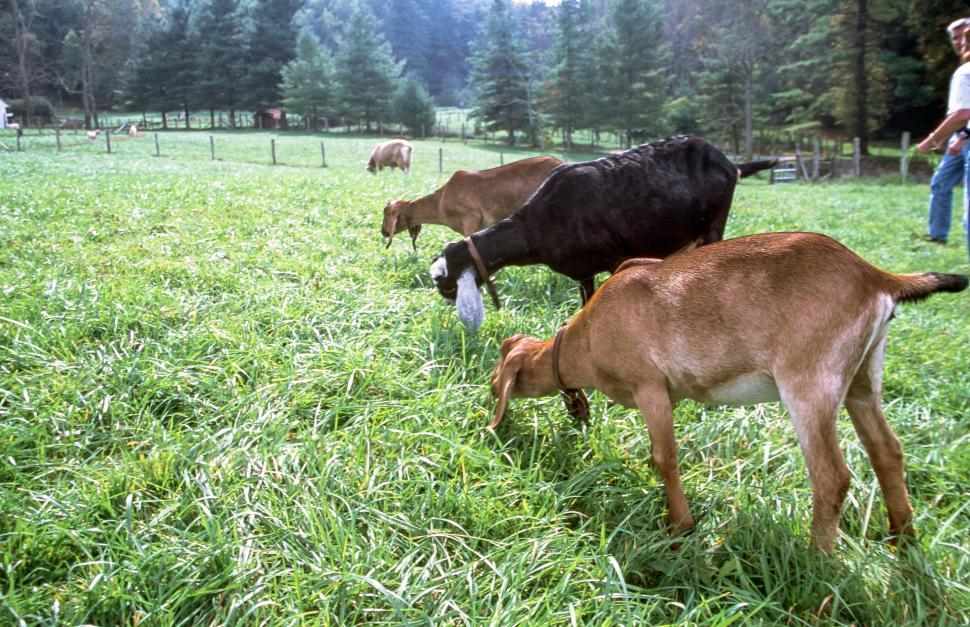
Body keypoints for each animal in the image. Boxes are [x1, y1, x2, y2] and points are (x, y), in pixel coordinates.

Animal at [429, 135, 775, 331]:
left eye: (443, 279)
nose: (444, 297)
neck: (534, 227)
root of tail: (729, 163)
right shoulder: (584, 271)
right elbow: (585, 302)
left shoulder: (614, 259)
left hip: (714, 224)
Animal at [489, 232, 968, 553]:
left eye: (498, 380)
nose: (492, 416)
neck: (588, 334)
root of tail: (876, 278)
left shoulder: (650, 387)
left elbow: (664, 458)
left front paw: (680, 528)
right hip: (862, 380)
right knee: (887, 451)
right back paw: (902, 537)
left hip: (811, 383)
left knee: (832, 477)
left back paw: (818, 567)